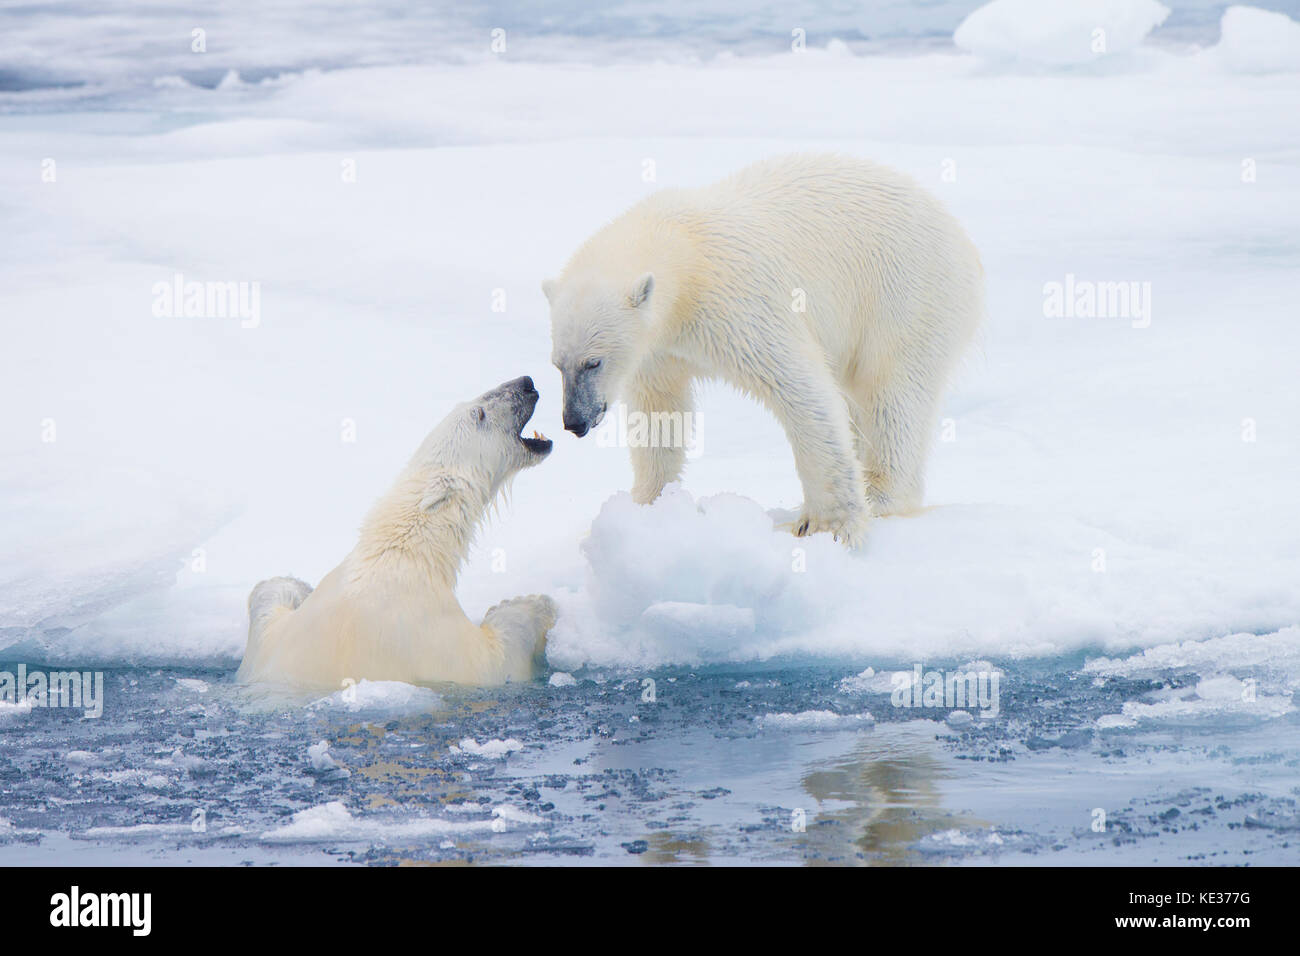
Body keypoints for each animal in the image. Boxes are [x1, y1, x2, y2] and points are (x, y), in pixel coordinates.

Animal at [236, 377, 558, 691]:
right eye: (479, 413)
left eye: (469, 402)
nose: (526, 383)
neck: (400, 555)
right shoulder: (440, 641)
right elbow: (498, 659)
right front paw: (531, 603)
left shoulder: (277, 645)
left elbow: (265, 616)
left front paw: (289, 582)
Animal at [543, 154, 984, 548]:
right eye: (557, 365)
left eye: (594, 362)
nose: (574, 421)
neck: (682, 249)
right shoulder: (660, 349)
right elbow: (660, 412)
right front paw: (645, 507)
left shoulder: (735, 302)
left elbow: (800, 387)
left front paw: (827, 526)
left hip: (905, 295)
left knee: (891, 393)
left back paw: (880, 493)